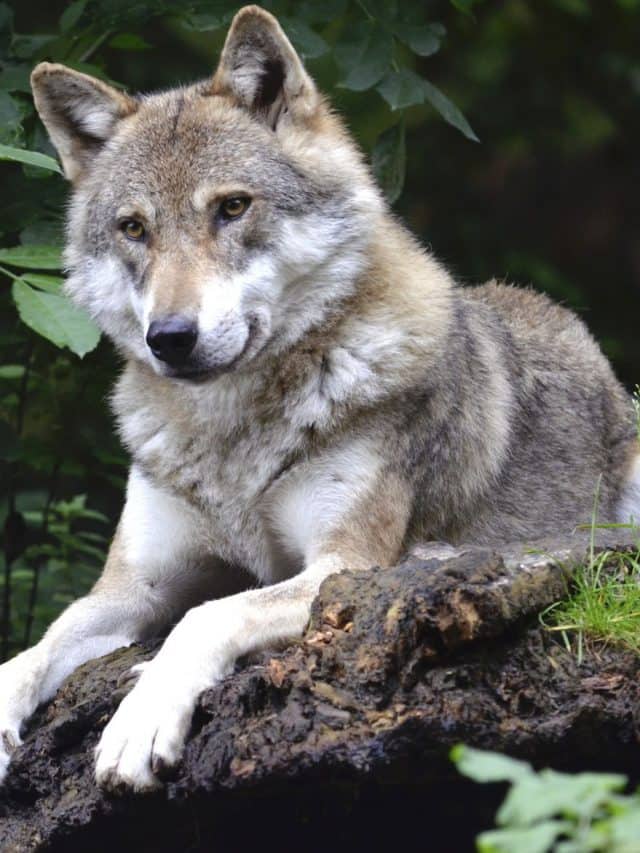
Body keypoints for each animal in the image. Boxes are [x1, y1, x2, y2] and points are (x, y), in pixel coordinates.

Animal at [0, 4, 637, 792]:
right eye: (134, 228)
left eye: (232, 208)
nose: (170, 338)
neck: (231, 436)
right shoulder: (132, 588)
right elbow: (35, 646)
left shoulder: (346, 568)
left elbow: (208, 615)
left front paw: (140, 719)